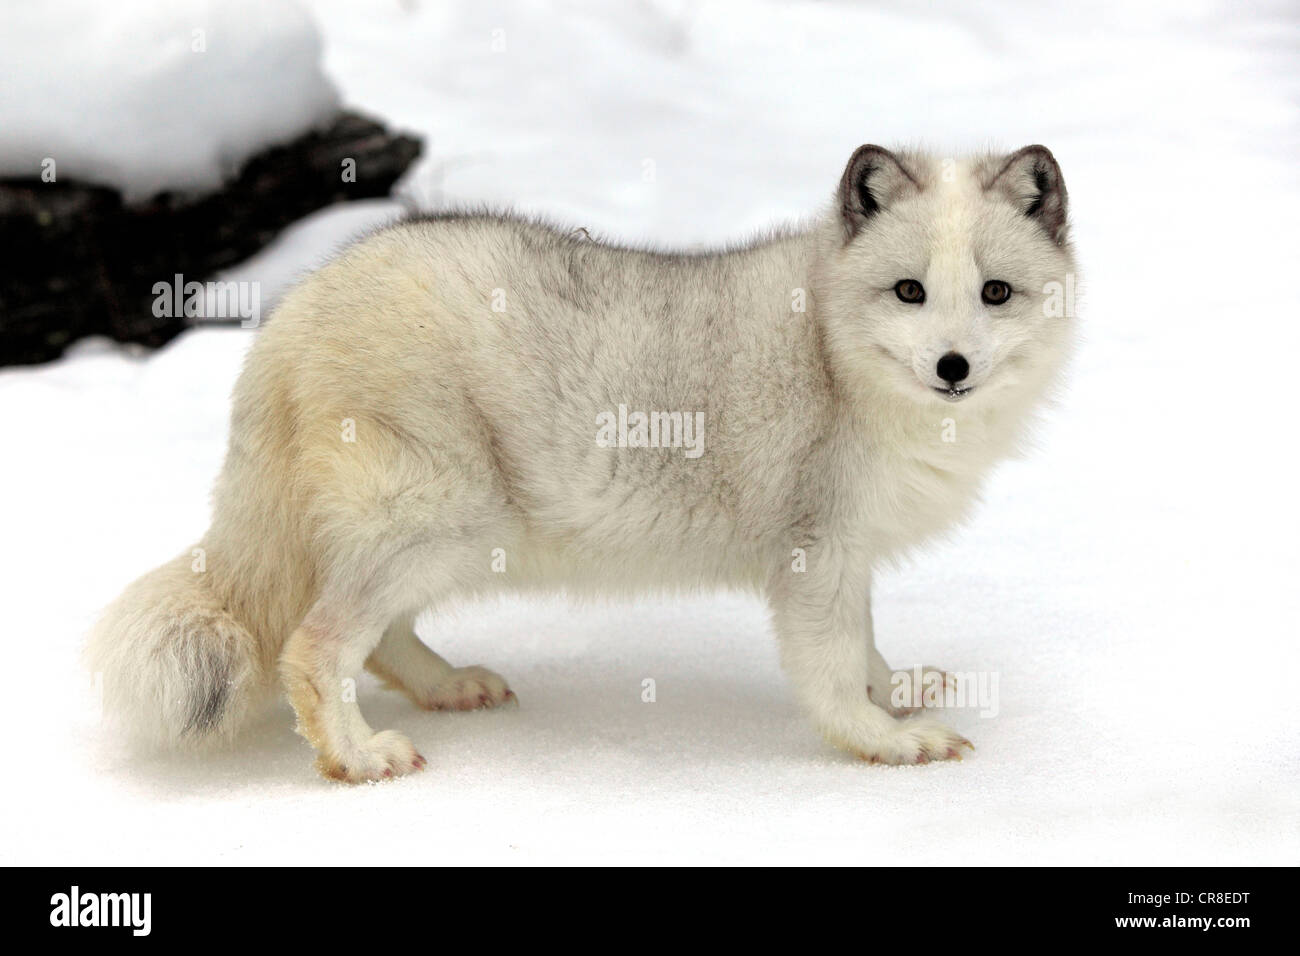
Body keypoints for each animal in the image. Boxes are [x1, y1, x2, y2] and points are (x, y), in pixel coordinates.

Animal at [87, 144, 1076, 782]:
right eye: (909, 290)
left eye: (995, 292)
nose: (953, 366)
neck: (833, 354)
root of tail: (295, 310)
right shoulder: (815, 553)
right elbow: (832, 675)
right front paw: (884, 744)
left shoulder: (849, 555)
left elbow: (867, 647)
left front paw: (895, 696)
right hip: (440, 519)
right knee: (314, 644)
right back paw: (359, 757)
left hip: (443, 533)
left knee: (379, 636)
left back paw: (449, 687)